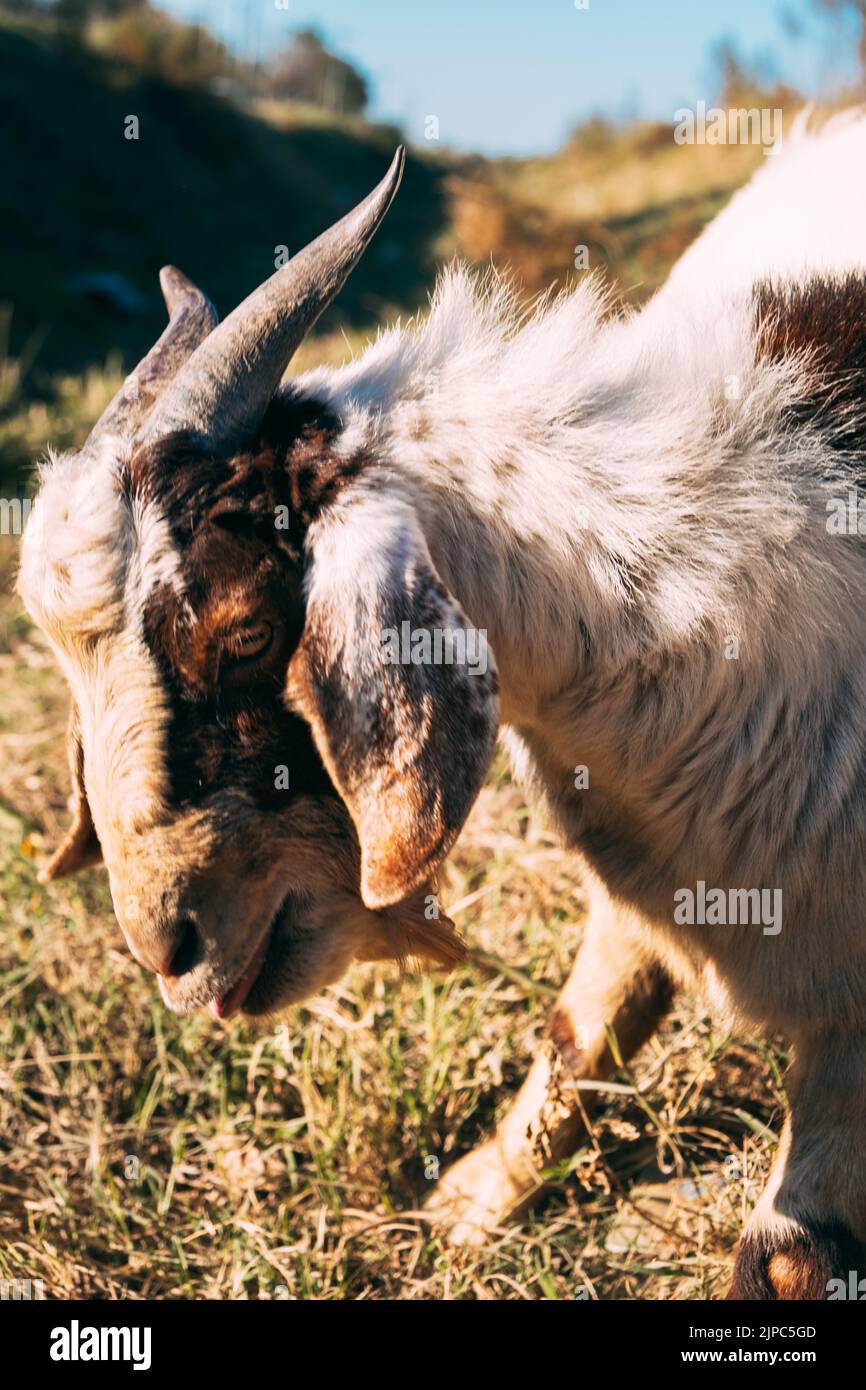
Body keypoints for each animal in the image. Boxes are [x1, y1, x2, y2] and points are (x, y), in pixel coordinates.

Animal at [17, 114, 866, 1299]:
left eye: (246, 631)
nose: (168, 950)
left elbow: (786, 1253)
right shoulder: (653, 880)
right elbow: (577, 1030)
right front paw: (462, 1211)